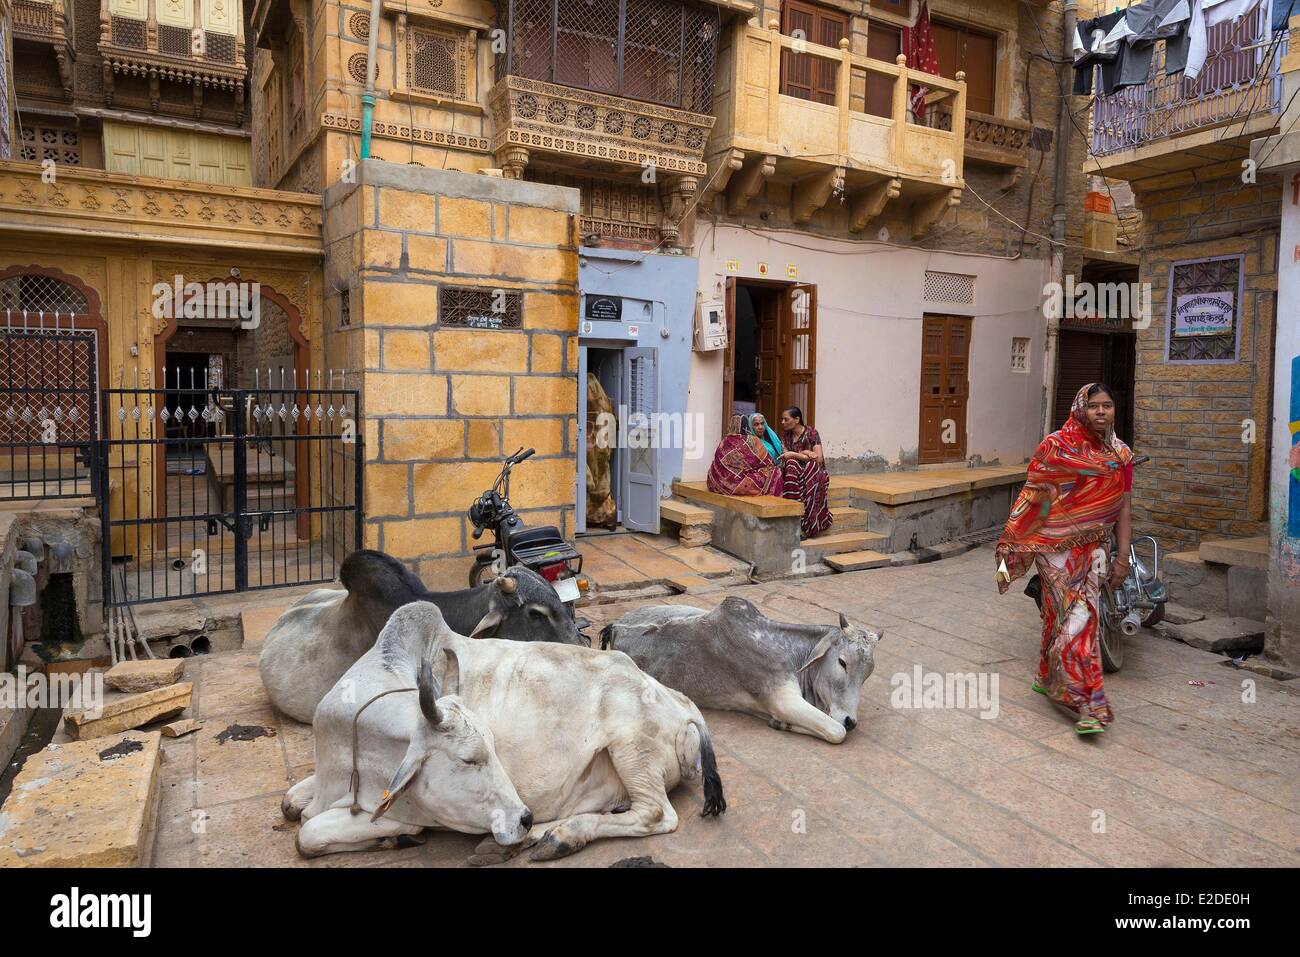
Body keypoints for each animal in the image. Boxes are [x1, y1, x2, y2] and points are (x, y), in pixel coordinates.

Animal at [284, 601, 726, 862]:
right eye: (470, 759)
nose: (523, 816)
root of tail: (683, 704)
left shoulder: (410, 812)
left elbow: (307, 833)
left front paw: (396, 839)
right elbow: (291, 804)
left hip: (633, 748)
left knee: (655, 813)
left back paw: (562, 837)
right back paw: (543, 835)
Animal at [600, 596, 882, 744]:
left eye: (868, 674)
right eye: (842, 662)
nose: (851, 720)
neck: (790, 652)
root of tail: (617, 626)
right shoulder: (782, 699)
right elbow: (836, 732)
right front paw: (780, 723)